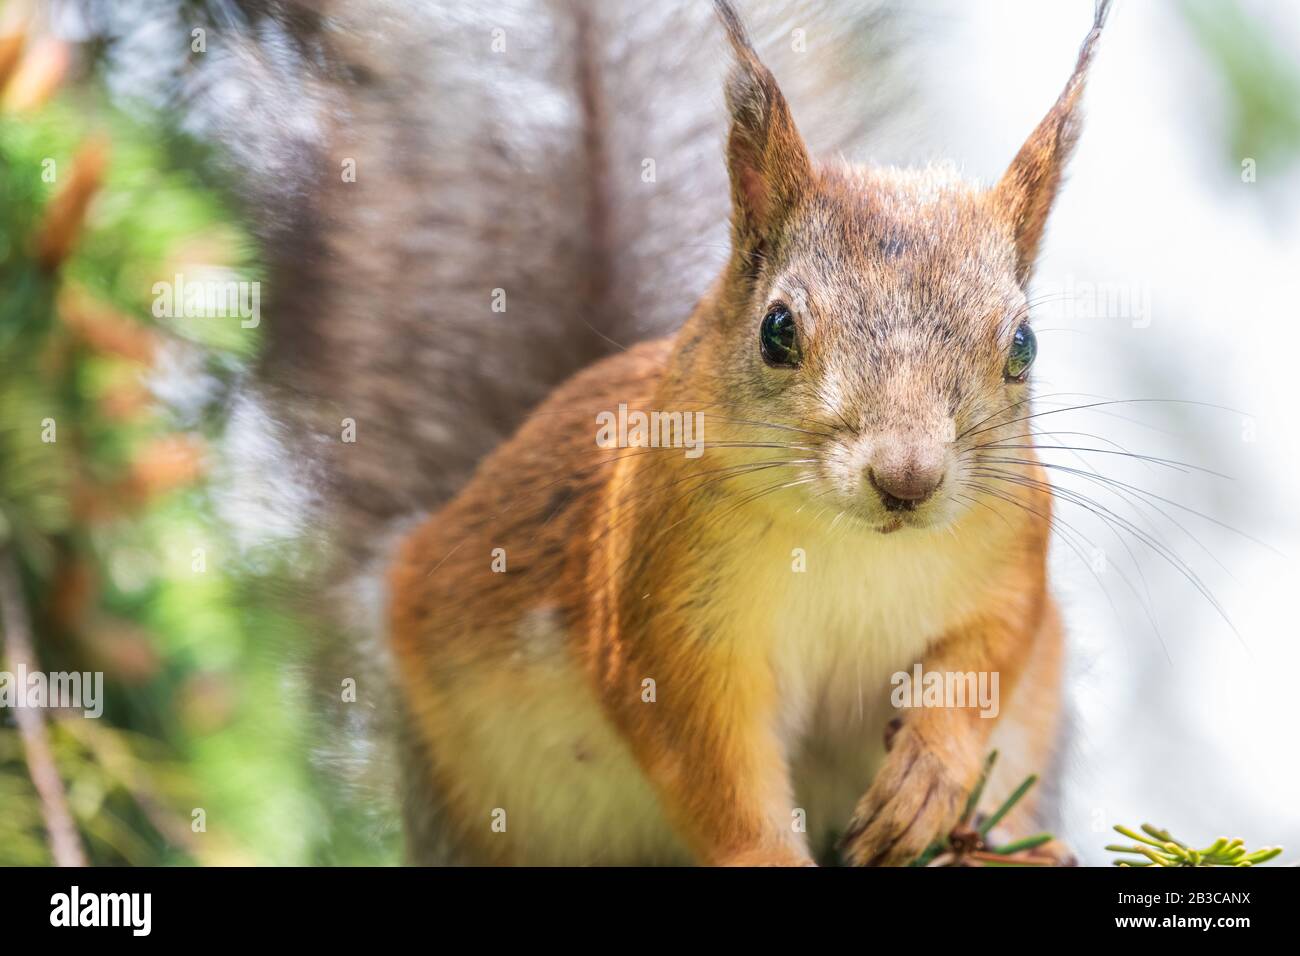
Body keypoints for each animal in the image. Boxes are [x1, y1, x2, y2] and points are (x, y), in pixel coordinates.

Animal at [387, 0, 1112, 866]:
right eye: (777, 331)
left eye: (1023, 347)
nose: (907, 480)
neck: (855, 545)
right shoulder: (663, 610)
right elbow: (714, 765)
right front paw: (768, 852)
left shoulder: (1011, 559)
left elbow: (984, 665)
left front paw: (927, 777)